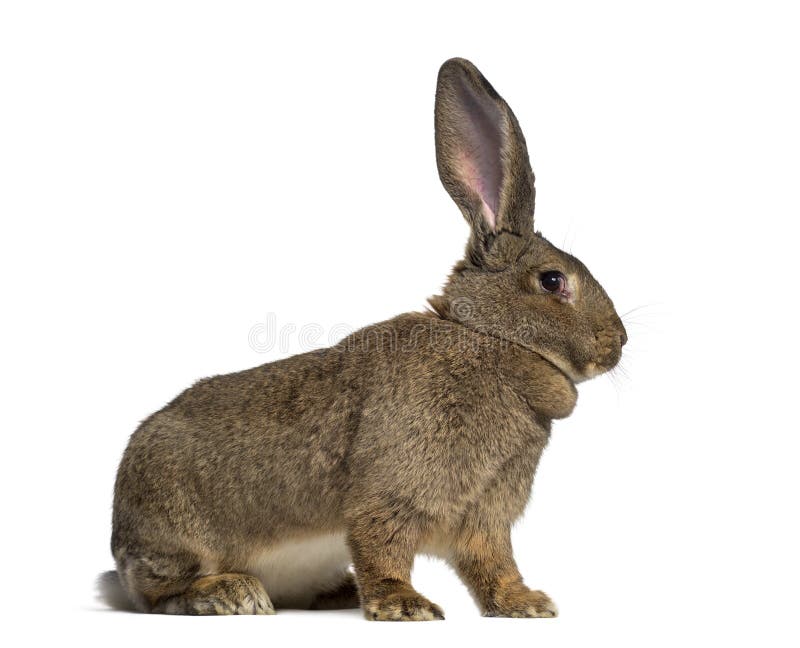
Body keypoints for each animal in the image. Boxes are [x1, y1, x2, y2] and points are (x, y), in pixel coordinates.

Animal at [100, 57, 627, 621]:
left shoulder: (485, 518)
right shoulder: (390, 493)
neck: (491, 340)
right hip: (177, 532)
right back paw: (231, 593)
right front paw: (405, 606)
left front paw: (525, 604)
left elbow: (494, 564)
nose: (617, 344)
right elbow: (383, 546)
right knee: (157, 594)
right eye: (552, 281)